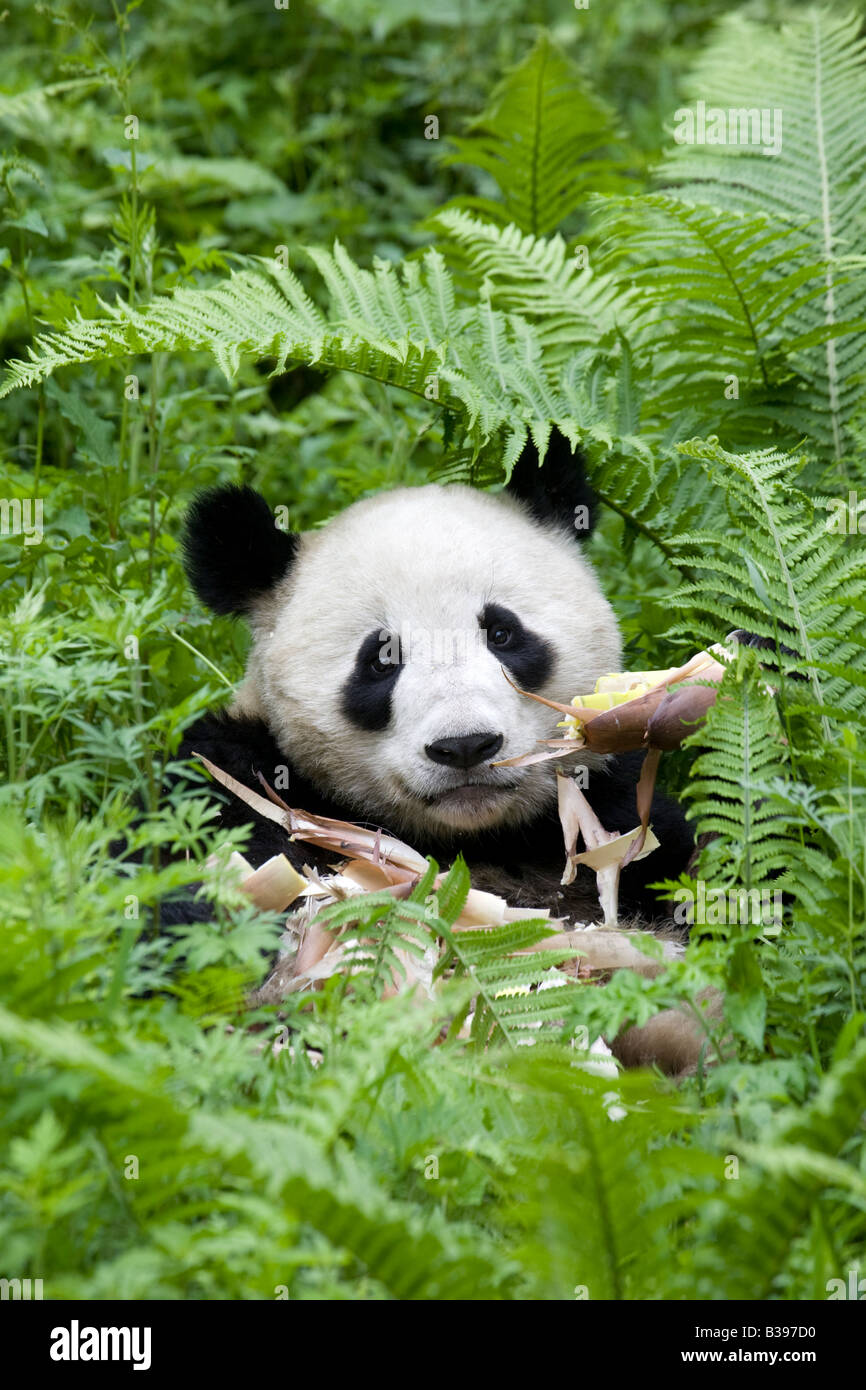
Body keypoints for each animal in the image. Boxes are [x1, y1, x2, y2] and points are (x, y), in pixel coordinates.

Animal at [168, 431, 706, 1069]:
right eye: (381, 658)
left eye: (502, 633)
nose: (465, 746)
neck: (473, 841)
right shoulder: (240, 779)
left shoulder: (617, 814)